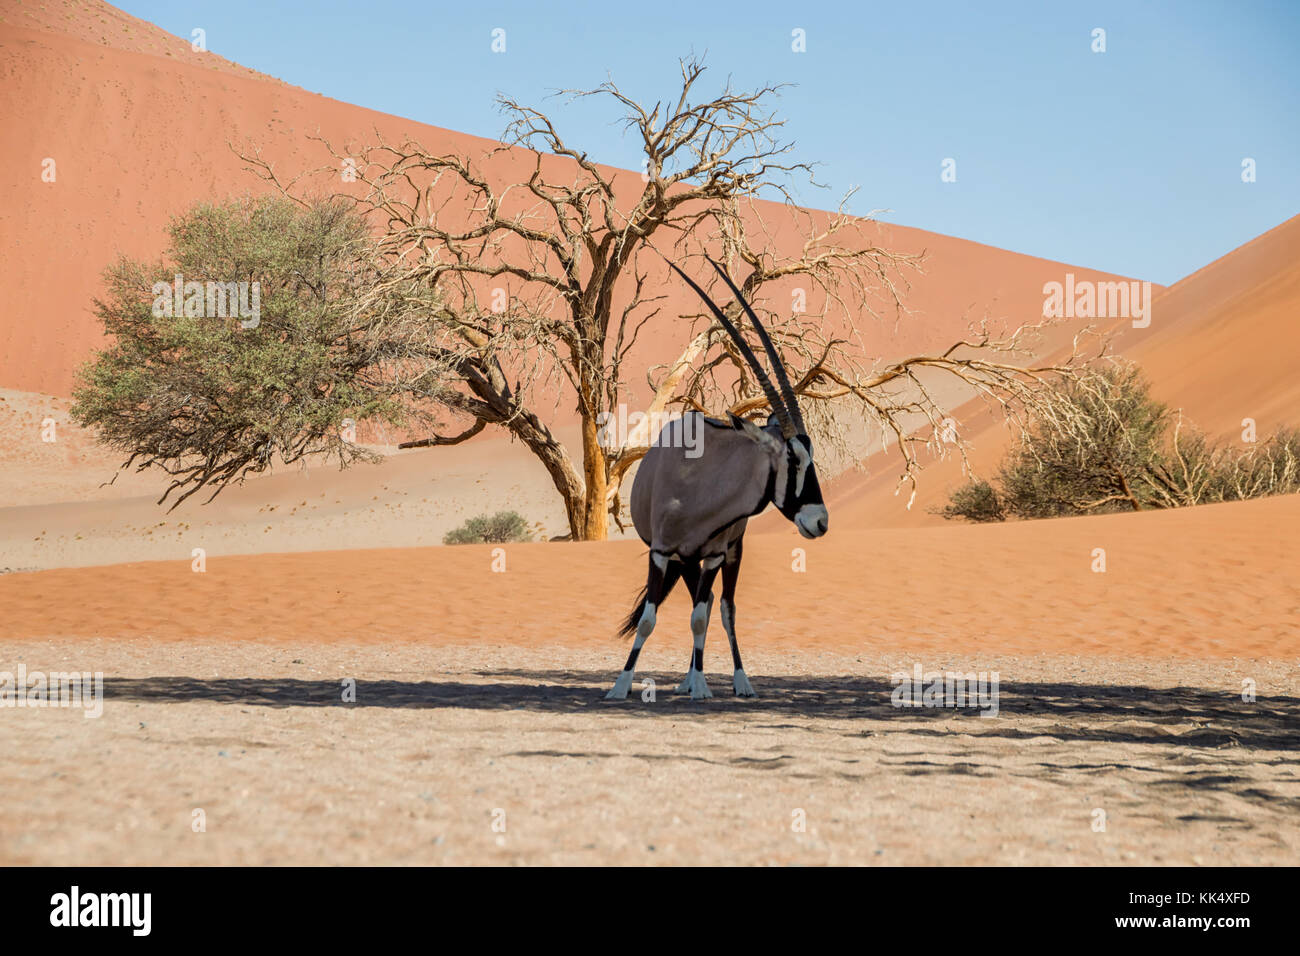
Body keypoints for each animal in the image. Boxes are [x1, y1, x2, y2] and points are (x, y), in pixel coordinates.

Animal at [605, 257, 828, 701]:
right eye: (792, 460)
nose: (820, 521)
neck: (698, 482)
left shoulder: (713, 555)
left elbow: (702, 616)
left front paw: (703, 685)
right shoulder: (662, 552)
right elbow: (650, 619)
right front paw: (620, 685)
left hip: (726, 554)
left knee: (719, 608)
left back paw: (733, 680)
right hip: (686, 560)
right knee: (702, 604)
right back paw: (690, 678)